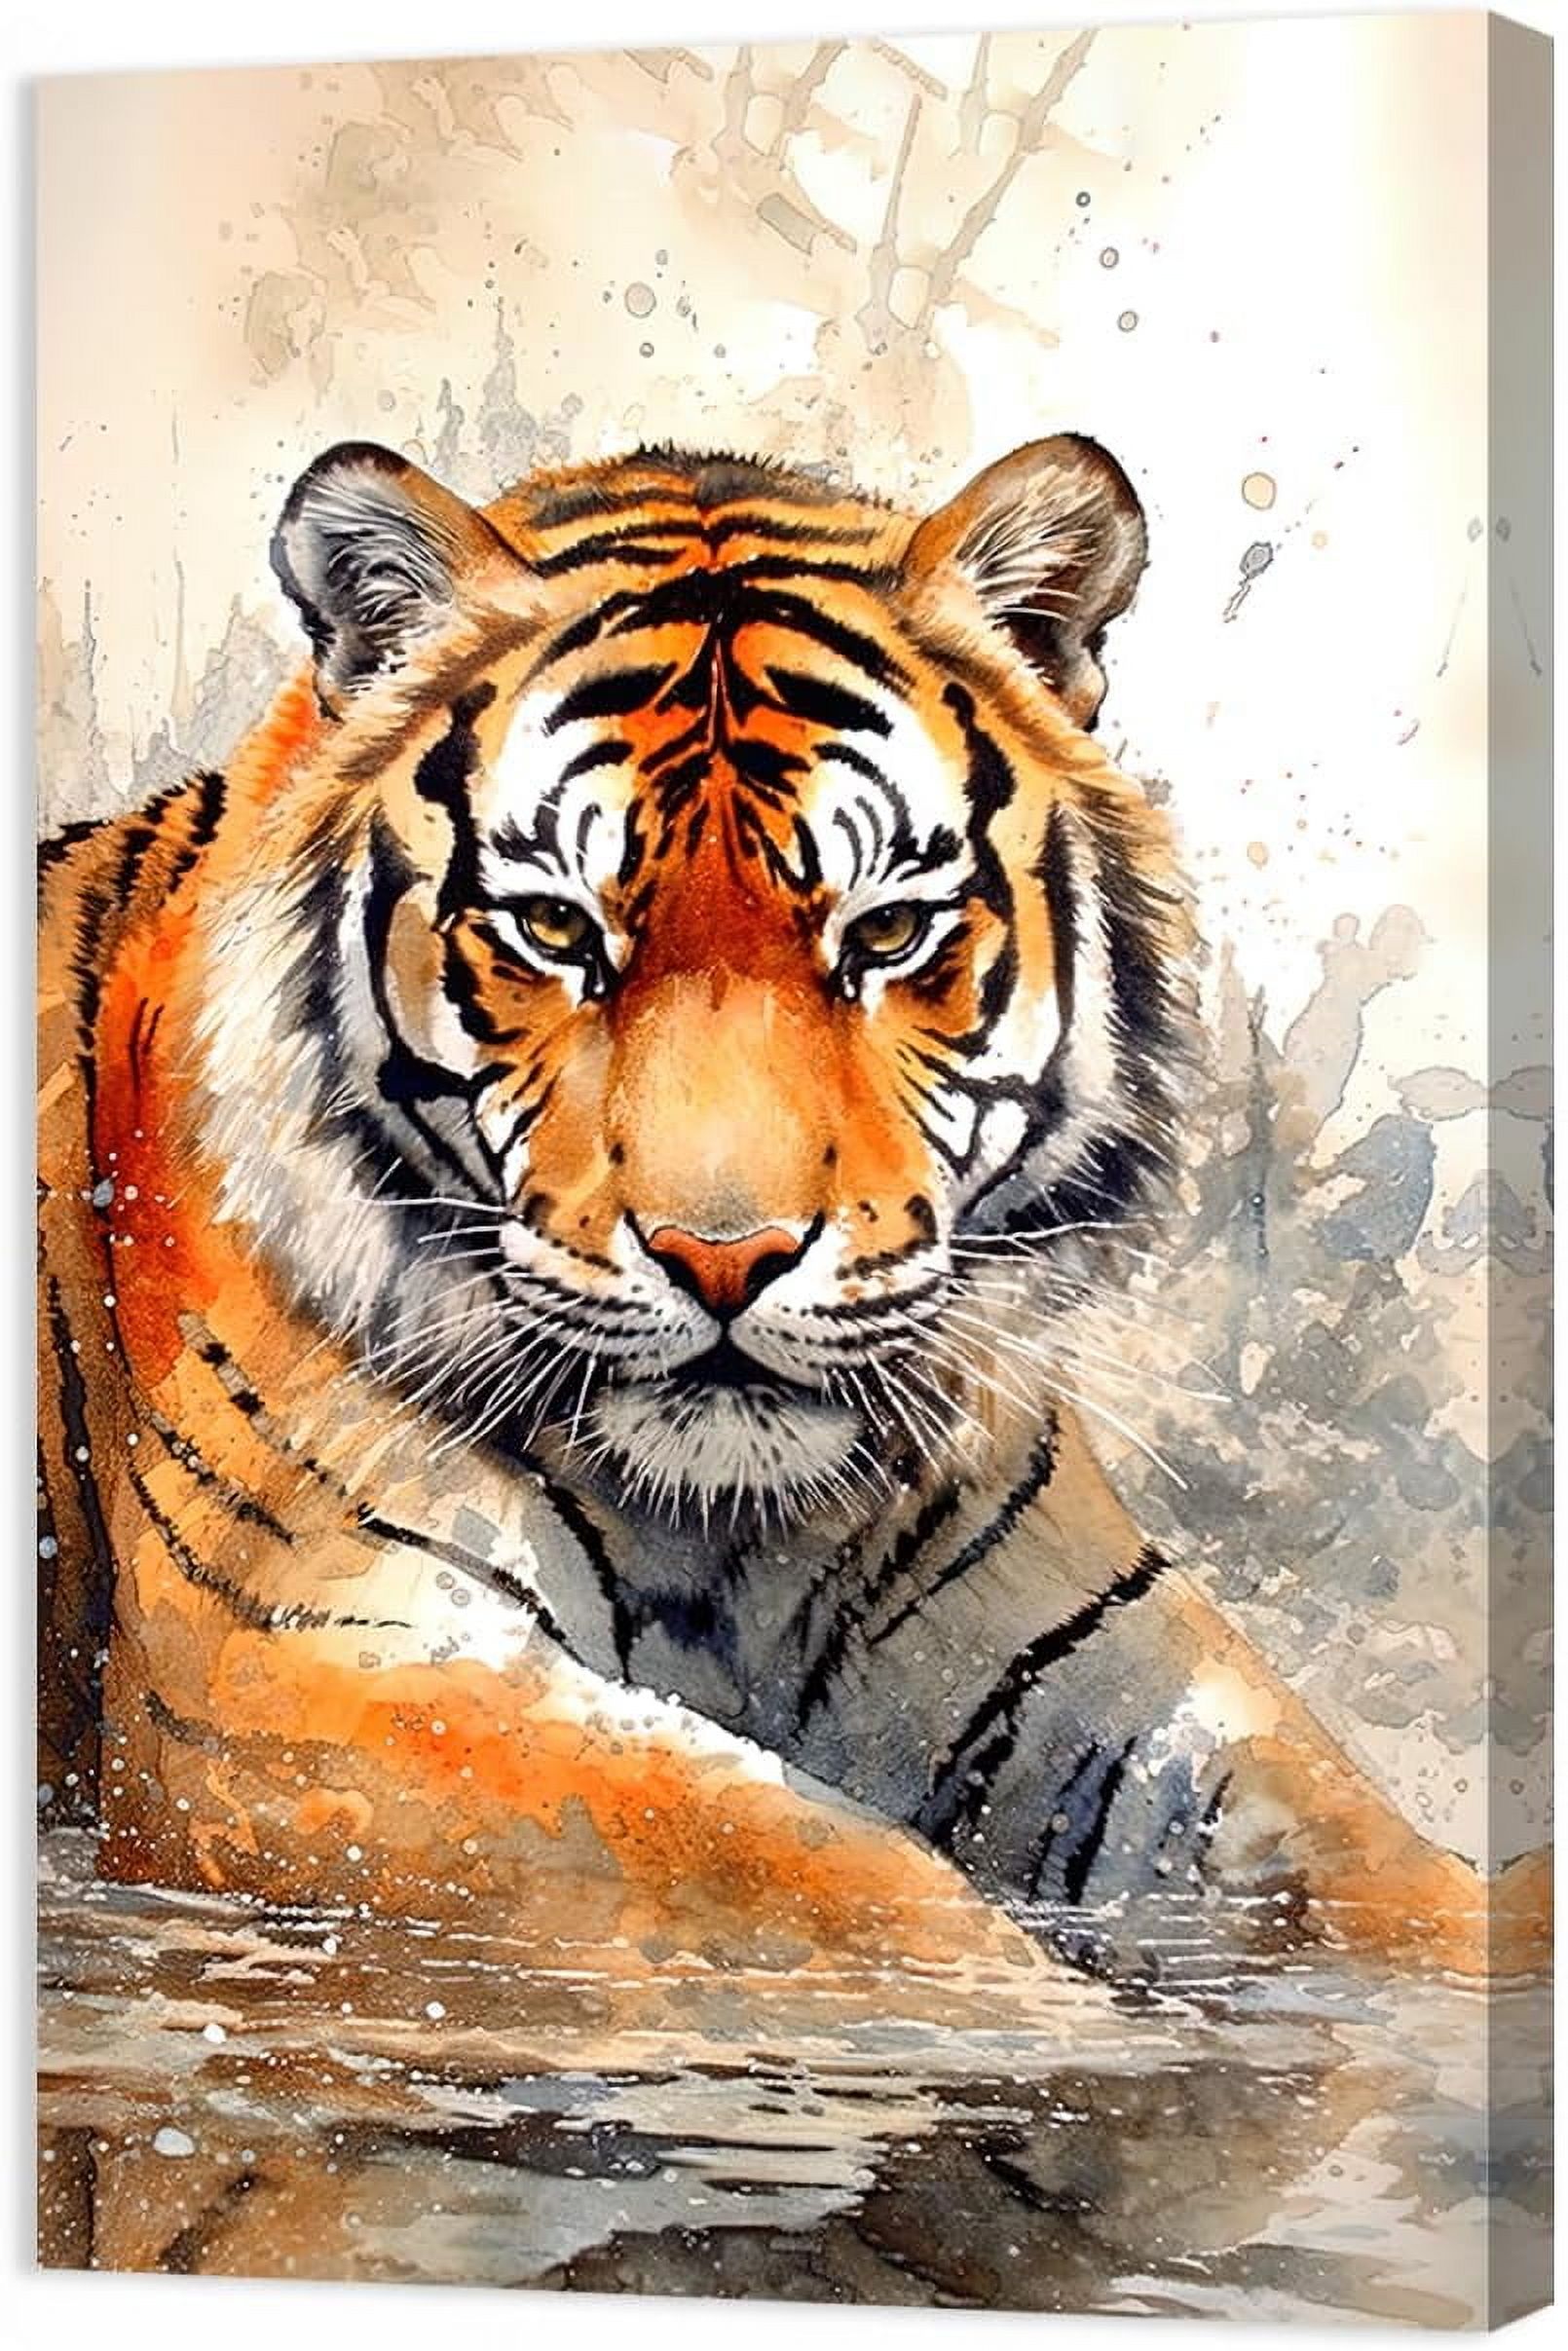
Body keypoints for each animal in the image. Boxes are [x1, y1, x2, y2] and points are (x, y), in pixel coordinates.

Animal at [37, 431, 1546, 1981]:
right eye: (557, 927)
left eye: (885, 931)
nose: (723, 1258)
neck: (727, 1537)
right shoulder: (294, 1665)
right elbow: (800, 1872)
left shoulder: (1093, 1653)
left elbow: (1359, 1864)